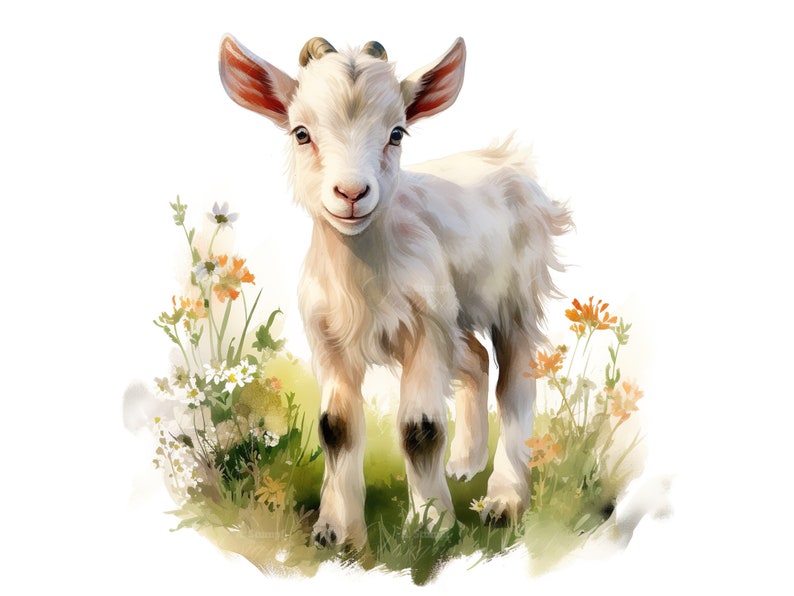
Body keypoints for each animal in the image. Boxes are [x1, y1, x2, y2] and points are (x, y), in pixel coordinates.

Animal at [219, 35, 572, 549]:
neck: (362, 279)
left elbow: (419, 428)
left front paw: (430, 526)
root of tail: (502, 158)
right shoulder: (329, 338)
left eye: (398, 133)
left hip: (516, 295)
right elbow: (336, 429)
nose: (351, 193)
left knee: (517, 382)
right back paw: (465, 463)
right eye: (301, 133)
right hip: (452, 309)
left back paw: (504, 499)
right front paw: (334, 532)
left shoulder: (424, 330)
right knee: (475, 358)